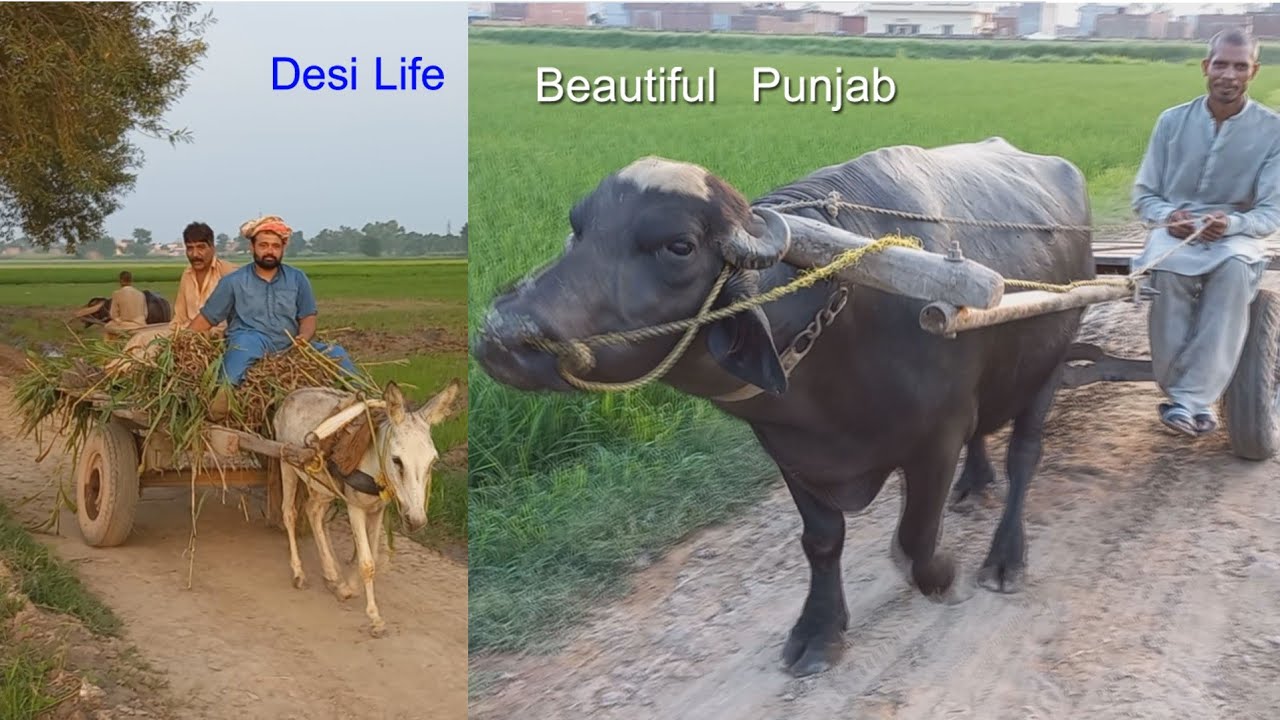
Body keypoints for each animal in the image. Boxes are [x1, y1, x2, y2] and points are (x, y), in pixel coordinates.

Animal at [473, 137, 1094, 677]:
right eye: (578, 230)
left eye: (678, 245)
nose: (504, 331)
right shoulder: (788, 450)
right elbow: (821, 540)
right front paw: (818, 631)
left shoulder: (936, 439)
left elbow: (915, 540)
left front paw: (946, 578)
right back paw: (974, 484)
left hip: (1051, 362)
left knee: (1024, 457)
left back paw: (1005, 559)